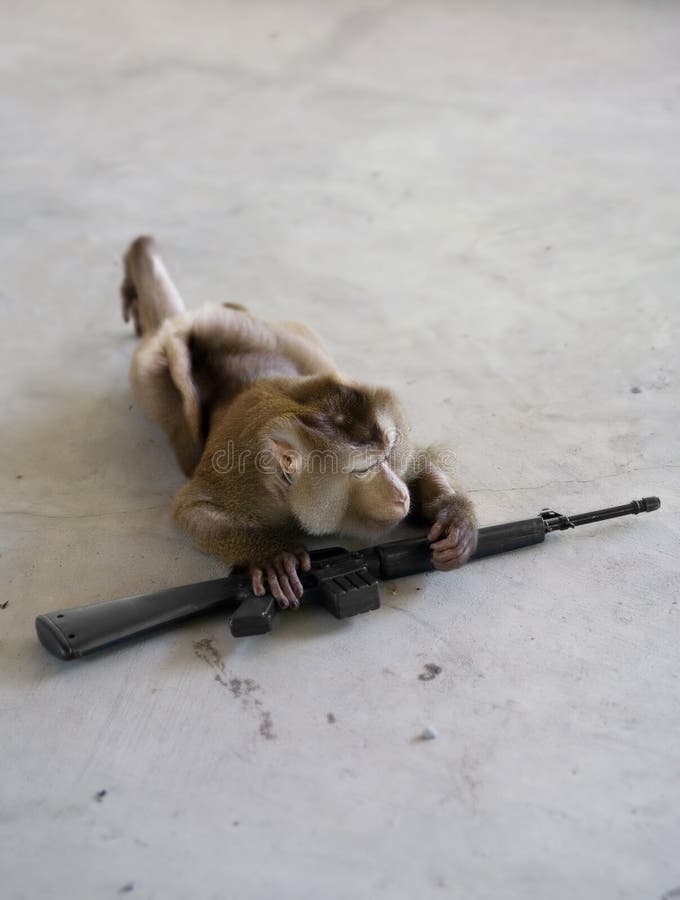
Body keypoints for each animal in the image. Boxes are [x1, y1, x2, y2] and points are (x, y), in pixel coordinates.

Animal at [121, 236, 478, 610]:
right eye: (364, 469)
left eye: (388, 454)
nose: (400, 494)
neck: (285, 491)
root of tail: (185, 325)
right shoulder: (242, 479)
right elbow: (192, 508)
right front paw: (270, 556)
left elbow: (420, 460)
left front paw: (455, 521)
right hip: (151, 367)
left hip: (265, 329)